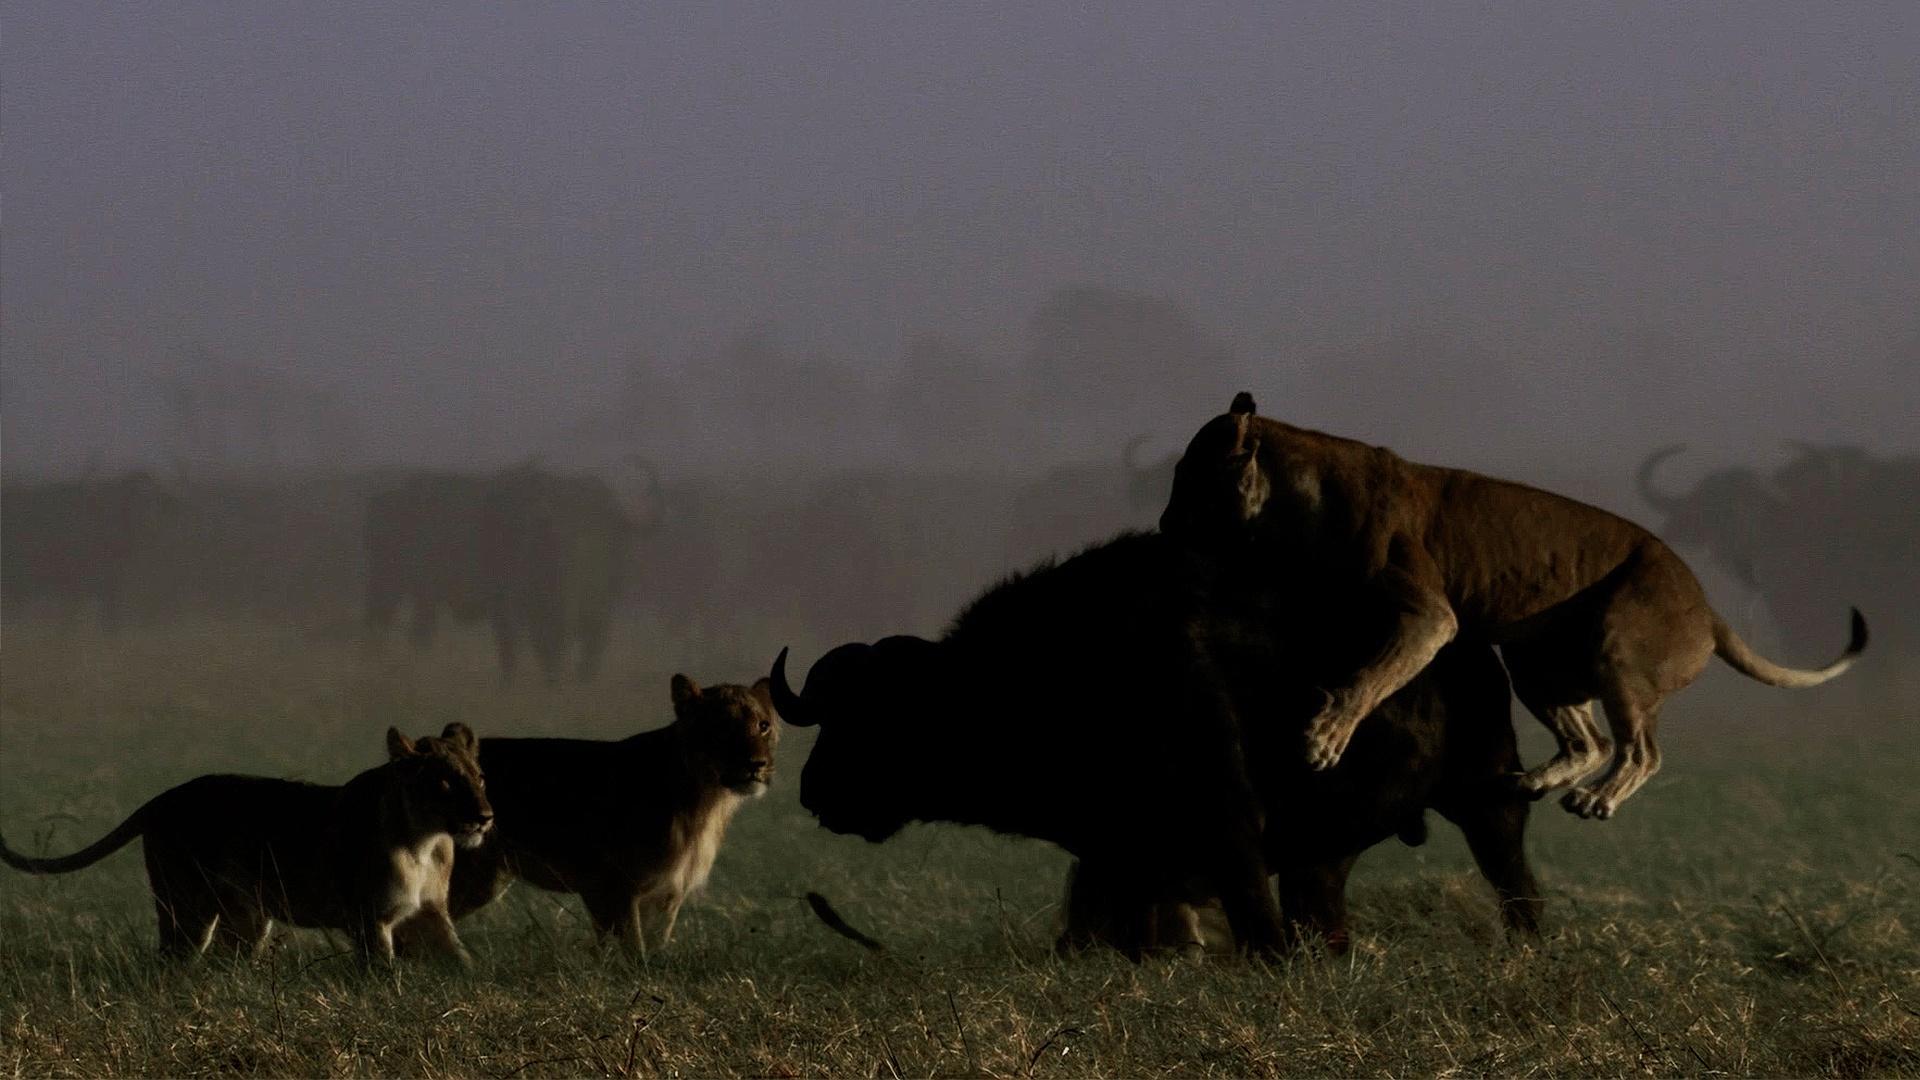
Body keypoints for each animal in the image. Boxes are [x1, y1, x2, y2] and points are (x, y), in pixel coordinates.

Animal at [0, 725, 493, 965]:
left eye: (480, 777)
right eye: (445, 783)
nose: (486, 817)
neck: (425, 840)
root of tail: (164, 796)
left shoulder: (430, 914)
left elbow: (463, 960)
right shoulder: (368, 919)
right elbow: (381, 974)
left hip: (245, 918)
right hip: (187, 907)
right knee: (169, 963)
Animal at [421, 674, 777, 954]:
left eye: (763, 726)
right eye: (722, 728)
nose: (757, 765)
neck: (708, 798)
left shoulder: (665, 894)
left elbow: (649, 945)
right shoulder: (612, 884)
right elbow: (634, 951)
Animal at [1159, 392, 1867, 819]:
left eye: (1187, 478)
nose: (1163, 525)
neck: (1286, 500)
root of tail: (1708, 604)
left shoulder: (1428, 618)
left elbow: (1367, 681)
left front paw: (1323, 740)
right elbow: (1346, 672)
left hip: (1620, 650)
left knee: (1641, 749)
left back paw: (1595, 802)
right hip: (1534, 663)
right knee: (1590, 740)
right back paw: (1529, 783)